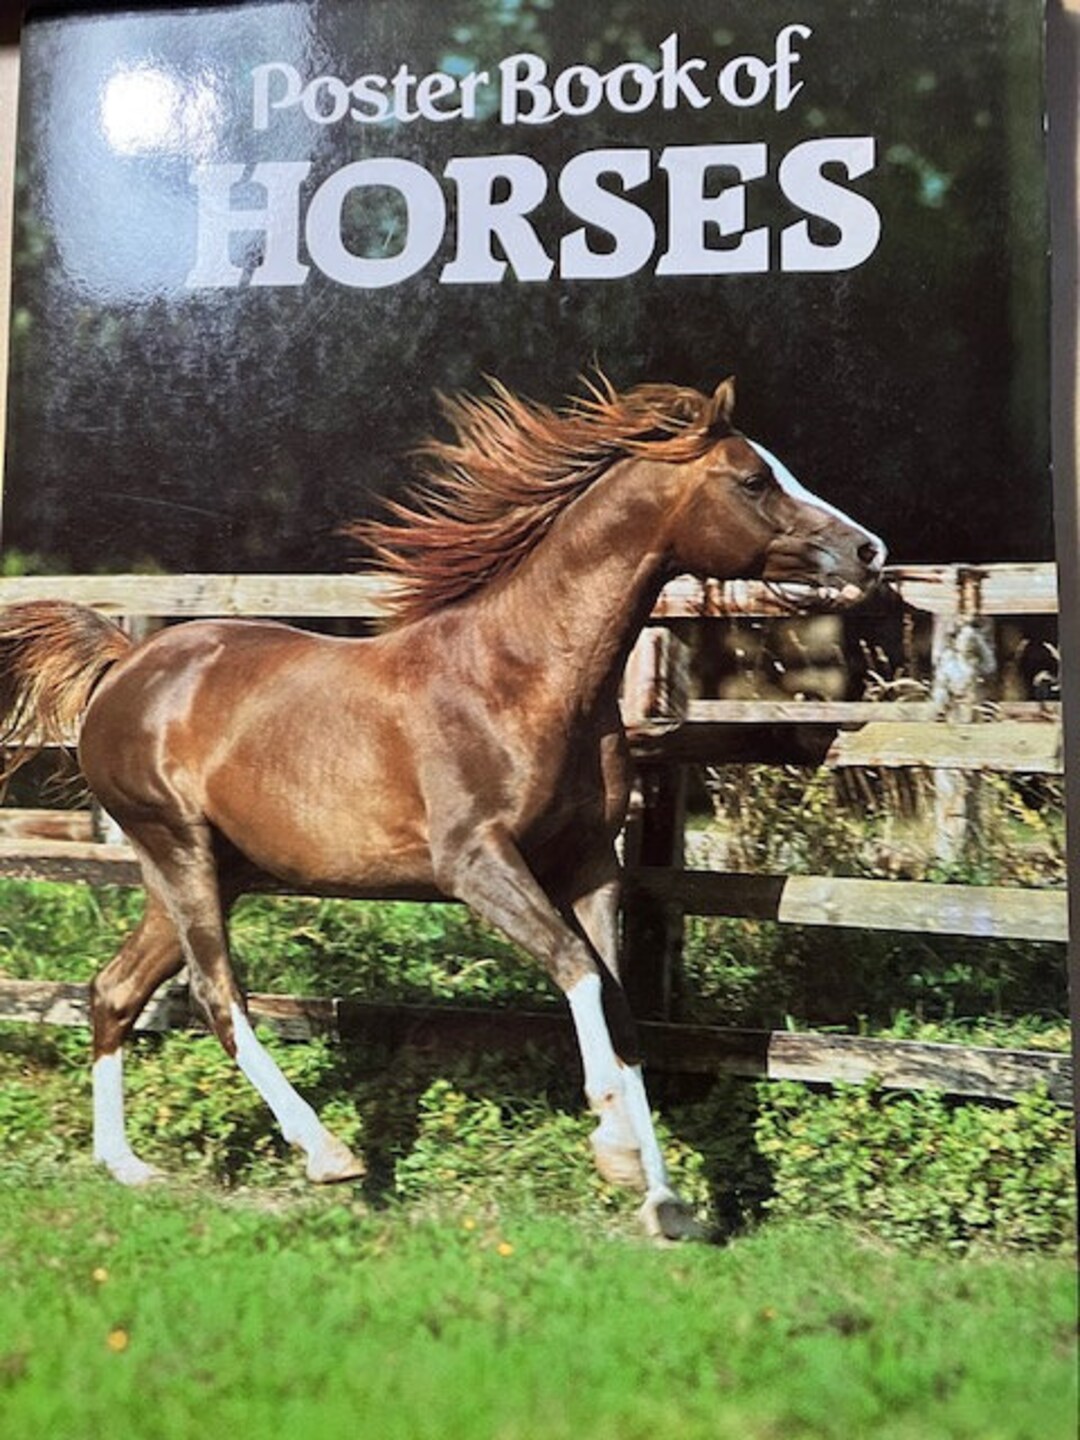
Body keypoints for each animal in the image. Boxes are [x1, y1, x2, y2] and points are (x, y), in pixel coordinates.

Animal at [0, 374, 885, 1239]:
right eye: (754, 478)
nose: (868, 550)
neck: (522, 677)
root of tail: (126, 661)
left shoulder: (589, 864)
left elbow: (617, 999)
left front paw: (665, 1202)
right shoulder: (476, 862)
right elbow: (575, 970)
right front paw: (614, 1143)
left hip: (216, 869)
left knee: (114, 989)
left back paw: (127, 1167)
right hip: (175, 846)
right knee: (218, 996)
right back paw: (327, 1154)